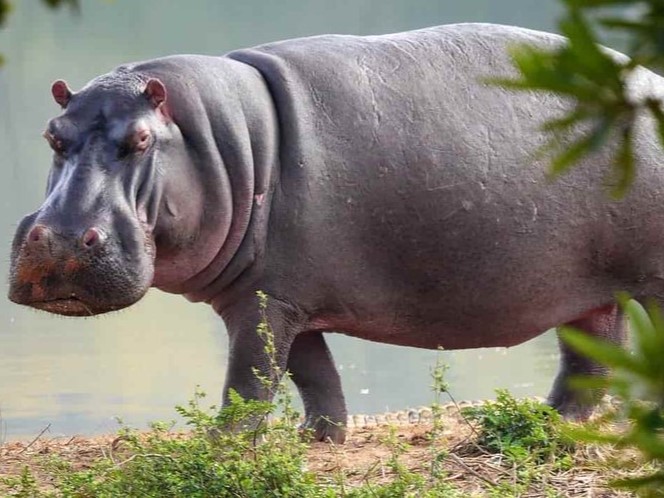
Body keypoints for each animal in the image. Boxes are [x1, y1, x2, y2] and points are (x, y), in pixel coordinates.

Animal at [8, 23, 662, 443]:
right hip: (590, 292)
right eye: (52, 134)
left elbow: (249, 381)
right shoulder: (281, 295)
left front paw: (219, 449)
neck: (219, 140)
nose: (59, 241)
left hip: (648, 280)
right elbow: (313, 375)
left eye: (142, 139)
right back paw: (551, 424)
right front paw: (319, 440)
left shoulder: (264, 301)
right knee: (590, 360)